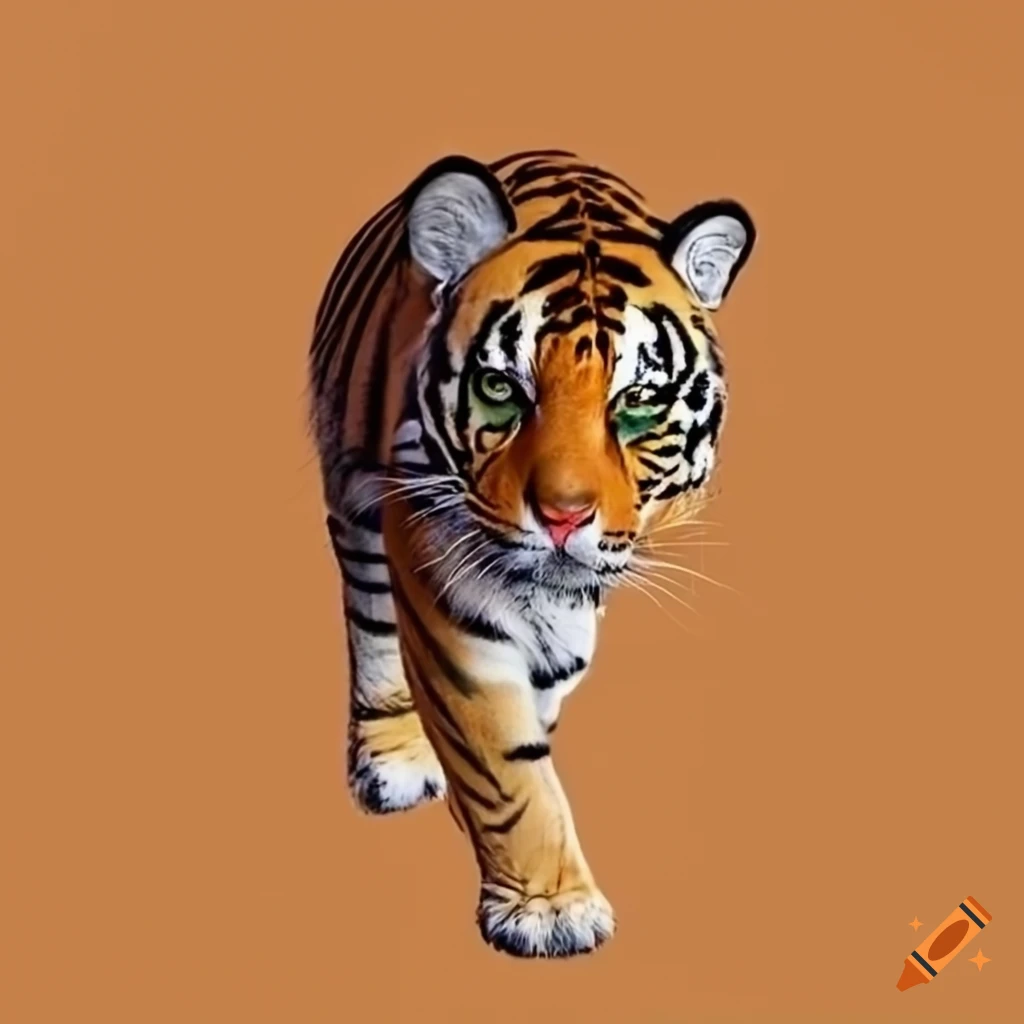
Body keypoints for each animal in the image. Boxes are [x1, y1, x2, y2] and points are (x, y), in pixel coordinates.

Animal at [307, 149, 756, 959]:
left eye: (636, 404)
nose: (563, 515)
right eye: (498, 389)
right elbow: (507, 765)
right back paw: (395, 756)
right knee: (372, 621)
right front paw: (551, 911)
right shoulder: (446, 575)